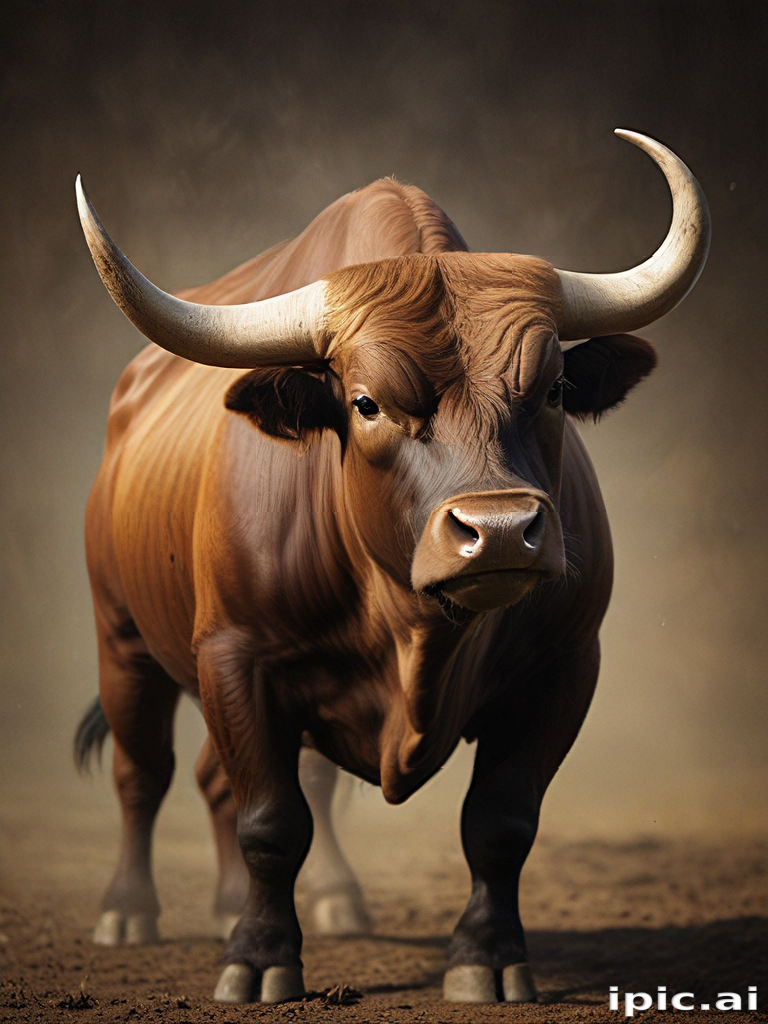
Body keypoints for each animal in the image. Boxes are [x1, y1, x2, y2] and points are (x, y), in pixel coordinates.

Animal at [74, 129, 709, 1006]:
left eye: (552, 391)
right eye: (367, 403)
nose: (500, 531)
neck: (416, 635)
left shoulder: (564, 665)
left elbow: (500, 822)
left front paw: (487, 958)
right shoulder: (236, 656)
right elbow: (270, 820)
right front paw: (259, 959)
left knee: (241, 779)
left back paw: (287, 900)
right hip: (123, 638)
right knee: (147, 771)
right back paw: (129, 911)